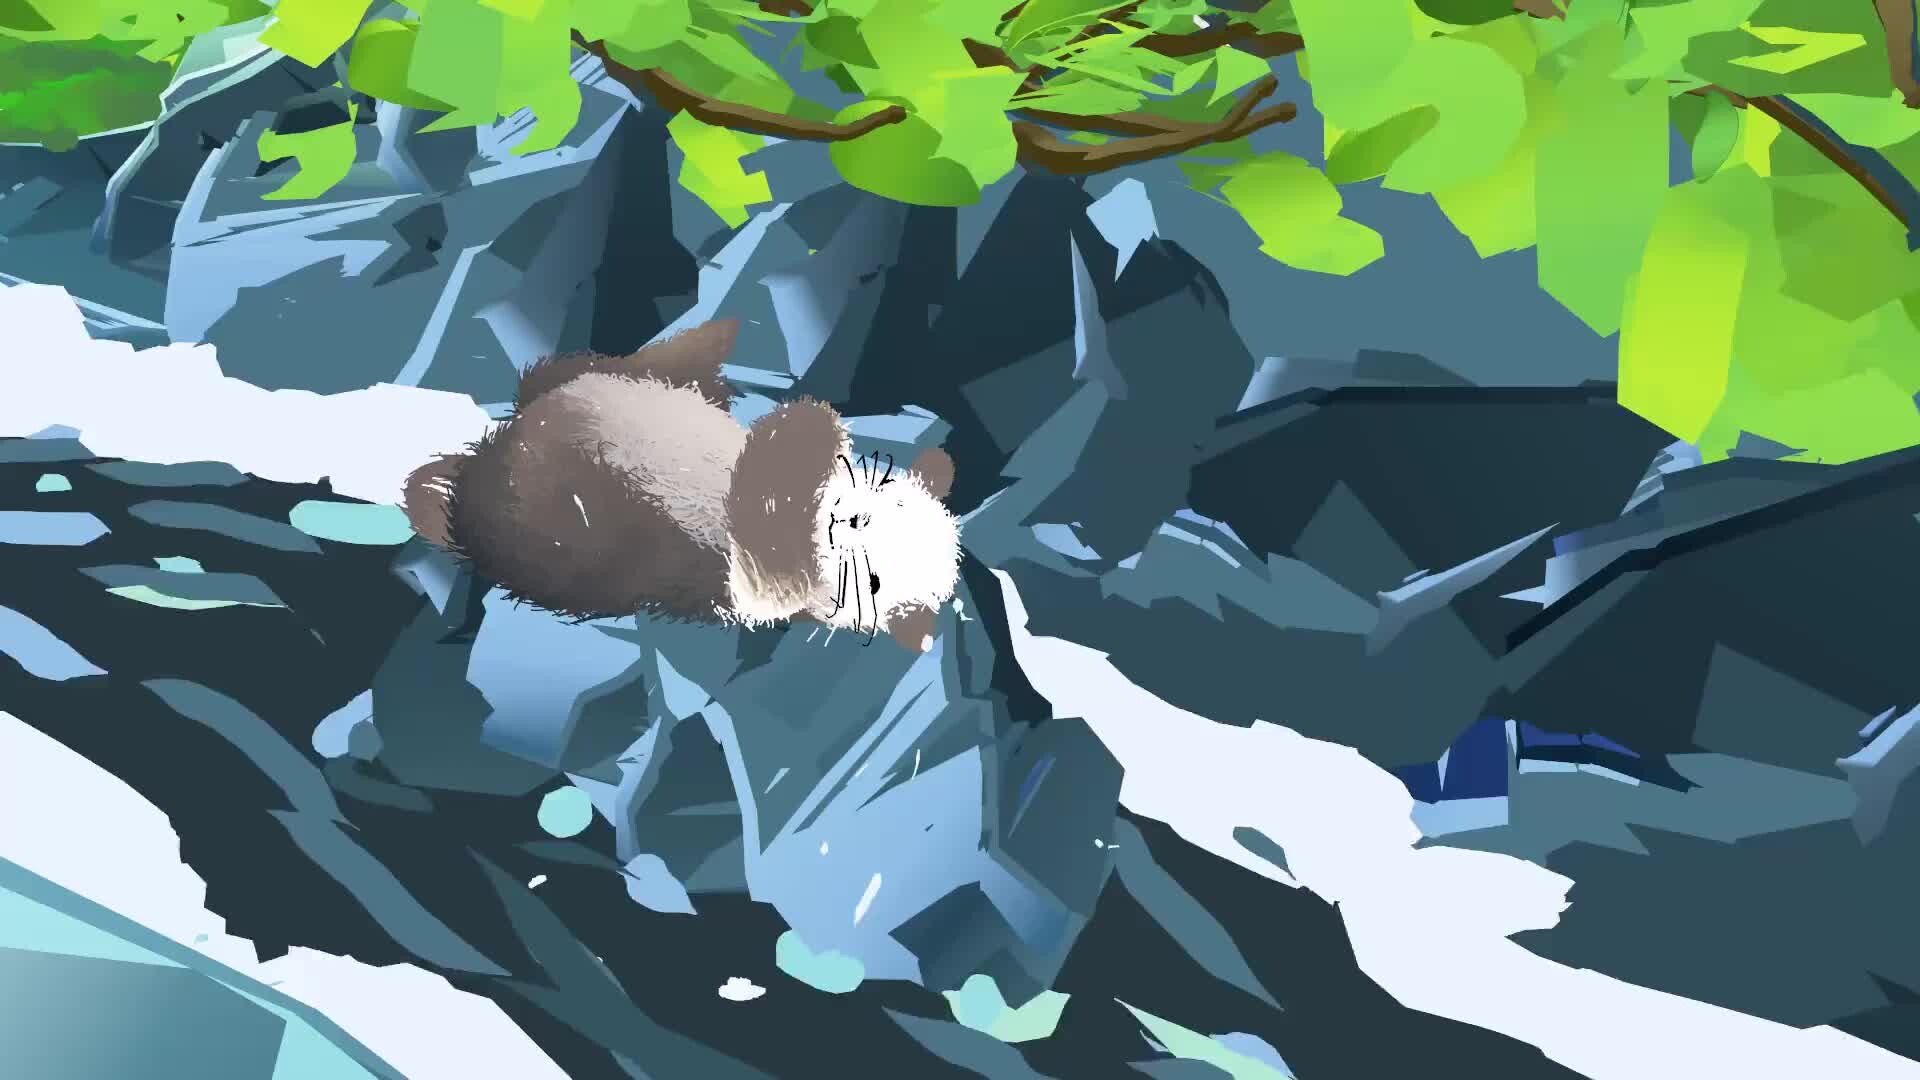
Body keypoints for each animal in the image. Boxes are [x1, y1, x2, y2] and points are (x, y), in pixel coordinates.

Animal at [401, 319, 961, 650]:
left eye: (875, 582)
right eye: (876, 509)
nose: (843, 523)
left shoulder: (756, 586)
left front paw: (796, 431)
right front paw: (811, 427)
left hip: (549, 540)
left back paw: (432, 488)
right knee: (590, 369)